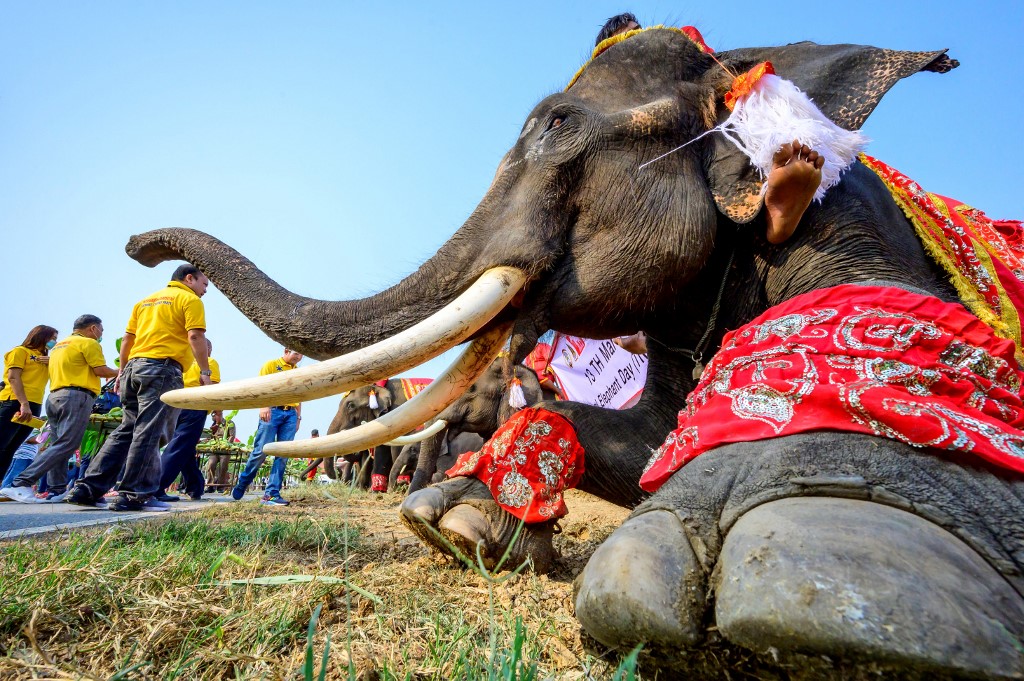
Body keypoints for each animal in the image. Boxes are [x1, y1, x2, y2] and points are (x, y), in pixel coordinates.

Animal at [124, 29, 1024, 678]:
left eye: (558, 123)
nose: (140, 246)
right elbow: (646, 444)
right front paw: (455, 523)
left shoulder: (851, 224)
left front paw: (821, 535)